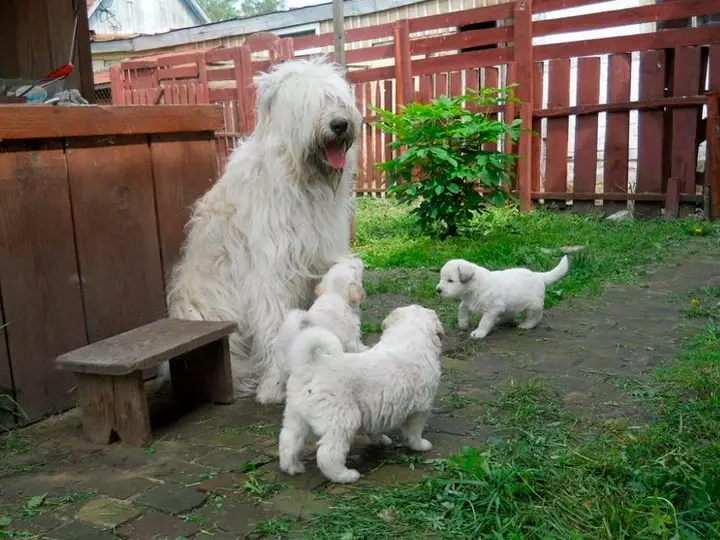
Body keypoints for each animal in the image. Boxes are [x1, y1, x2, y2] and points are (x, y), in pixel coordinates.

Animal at [166, 60, 362, 404]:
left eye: (336, 99)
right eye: (308, 103)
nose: (339, 124)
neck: (302, 181)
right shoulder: (270, 270)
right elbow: (273, 322)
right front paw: (275, 382)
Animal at [278, 304, 442, 486]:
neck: (408, 335)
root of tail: (311, 366)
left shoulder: (378, 409)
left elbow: (376, 428)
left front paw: (381, 440)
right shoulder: (420, 409)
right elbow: (414, 431)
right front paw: (420, 445)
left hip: (295, 415)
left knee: (288, 440)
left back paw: (292, 467)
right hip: (342, 419)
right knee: (328, 453)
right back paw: (345, 476)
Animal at [436, 255, 572, 340]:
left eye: (450, 280)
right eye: (441, 278)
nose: (438, 290)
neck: (474, 287)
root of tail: (538, 275)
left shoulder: (492, 309)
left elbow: (484, 322)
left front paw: (479, 333)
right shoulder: (468, 302)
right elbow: (461, 308)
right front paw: (463, 324)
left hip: (533, 306)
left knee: (536, 316)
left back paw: (527, 325)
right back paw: (500, 320)